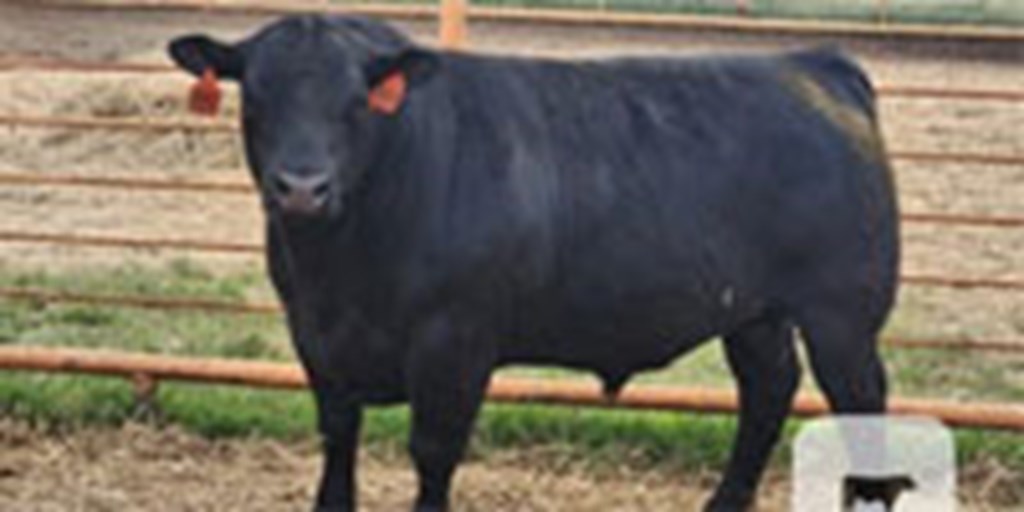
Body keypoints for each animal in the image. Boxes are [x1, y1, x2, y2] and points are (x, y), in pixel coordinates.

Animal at [168, 14, 899, 512]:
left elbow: (433, 452)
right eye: (254, 97)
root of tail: (813, 62)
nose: (301, 188)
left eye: (357, 102)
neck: (341, 271)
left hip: (842, 316)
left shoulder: (455, 341)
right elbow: (338, 439)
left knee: (861, 403)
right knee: (767, 390)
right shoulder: (316, 338)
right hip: (753, 313)